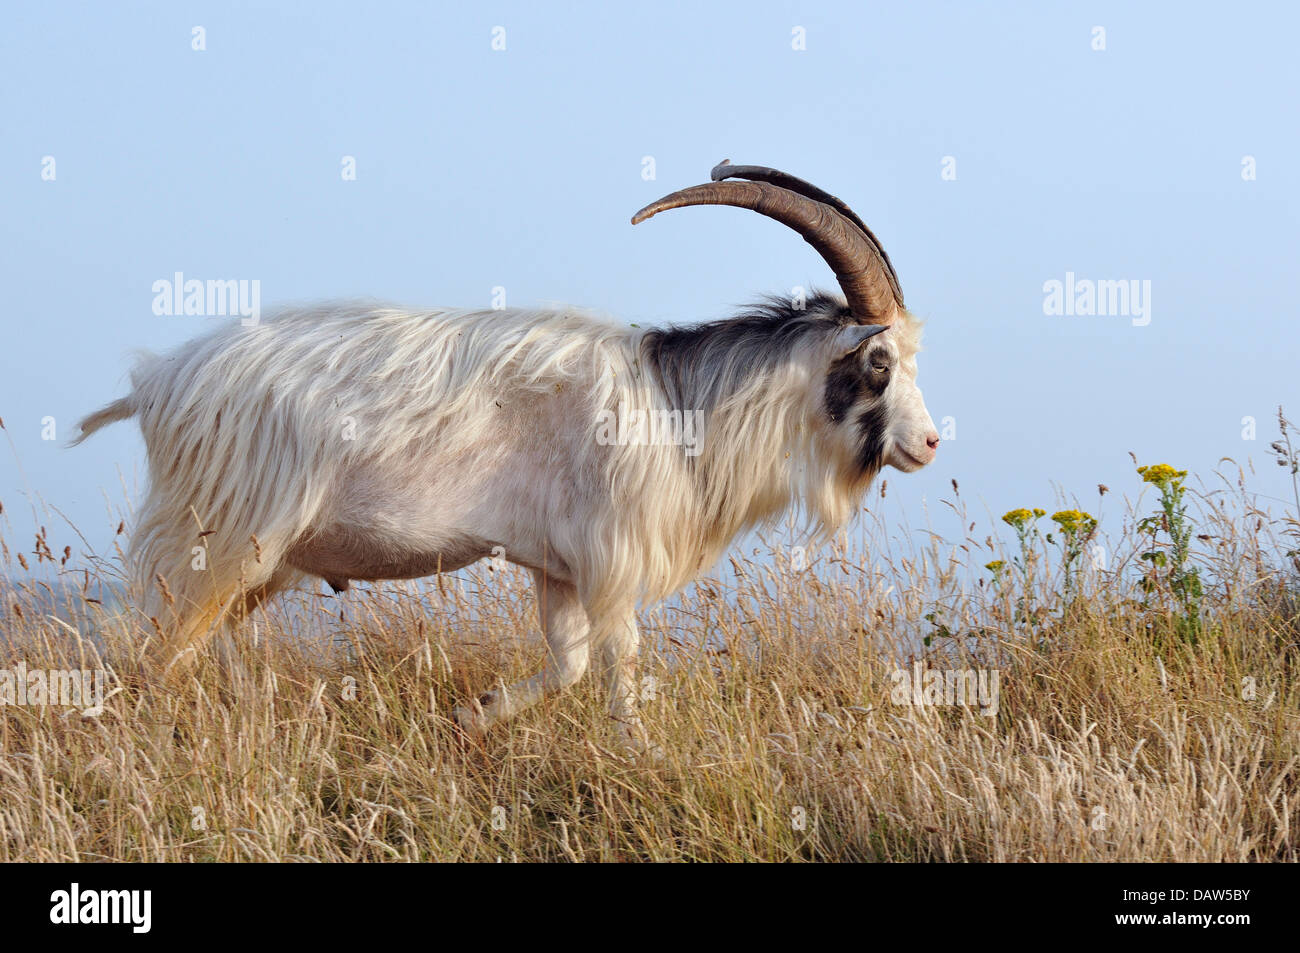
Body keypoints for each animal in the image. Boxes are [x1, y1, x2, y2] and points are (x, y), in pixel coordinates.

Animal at [74, 161, 939, 747]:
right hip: (215, 543)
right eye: (879, 362)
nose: (928, 442)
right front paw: (637, 749)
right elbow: (619, 666)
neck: (675, 407)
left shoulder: (557, 567)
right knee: (152, 648)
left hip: (252, 564)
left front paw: (470, 718)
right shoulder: (611, 559)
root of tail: (158, 384)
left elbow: (569, 663)